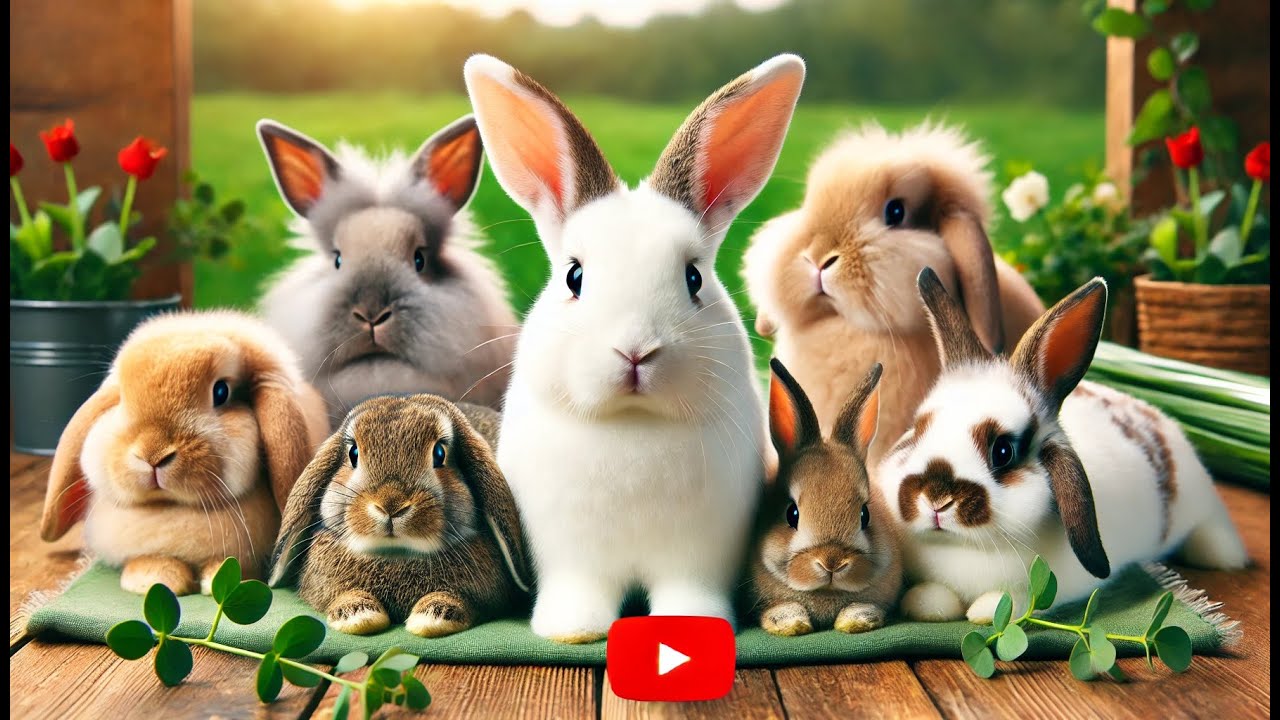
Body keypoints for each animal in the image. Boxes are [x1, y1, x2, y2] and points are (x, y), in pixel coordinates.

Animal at [40, 311, 330, 596]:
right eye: (121, 398)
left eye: (221, 392)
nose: (152, 454)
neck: (172, 507)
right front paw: (157, 577)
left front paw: (223, 581)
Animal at [267, 394, 531, 638]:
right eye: (353, 453)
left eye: (439, 453)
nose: (391, 505)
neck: (396, 553)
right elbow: (343, 595)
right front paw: (357, 615)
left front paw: (433, 617)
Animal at [462, 53, 806, 642]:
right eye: (574, 276)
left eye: (694, 278)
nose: (636, 351)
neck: (633, 423)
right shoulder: (569, 554)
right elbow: (580, 590)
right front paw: (571, 629)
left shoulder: (699, 555)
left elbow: (689, 592)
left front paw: (689, 627)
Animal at [750, 358, 903, 636]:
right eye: (792, 514)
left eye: (865, 514)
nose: (832, 562)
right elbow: (781, 609)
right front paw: (792, 625)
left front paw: (855, 621)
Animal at [877, 268, 1248, 624]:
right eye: (917, 430)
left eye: (1003, 452)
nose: (936, 499)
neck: (963, 547)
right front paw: (924, 604)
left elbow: (1014, 600)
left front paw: (986, 610)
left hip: (1202, 508)